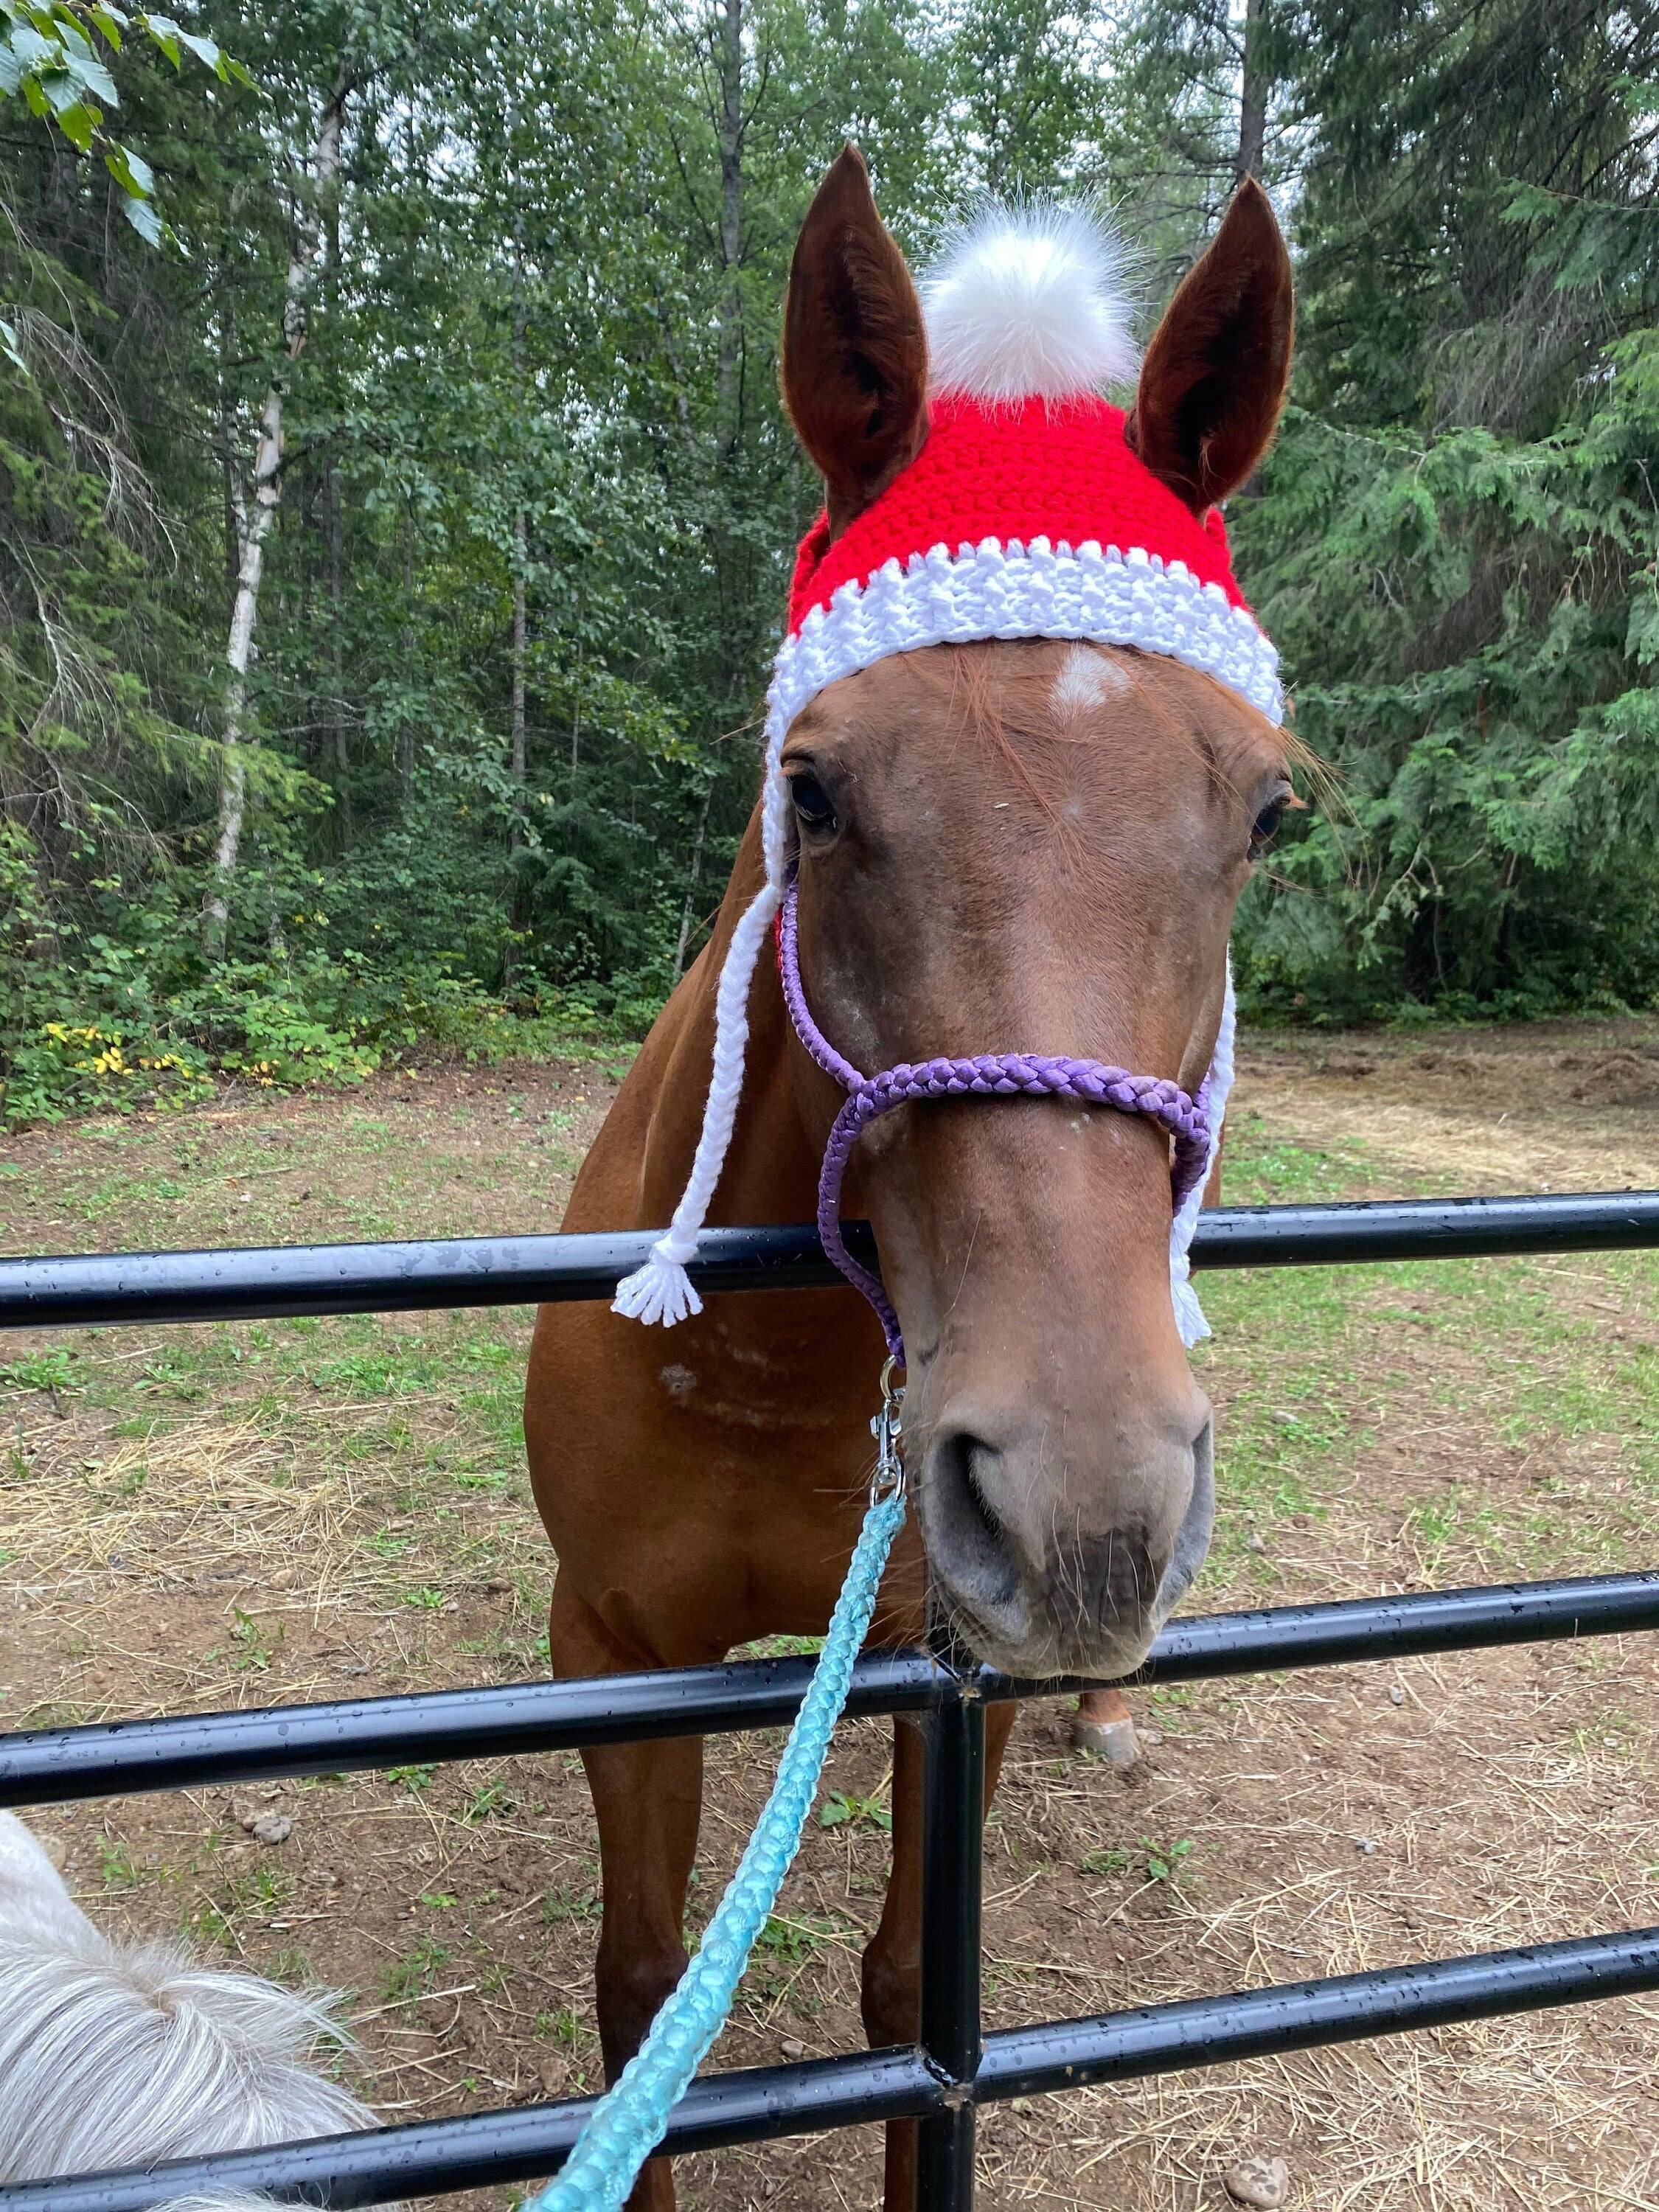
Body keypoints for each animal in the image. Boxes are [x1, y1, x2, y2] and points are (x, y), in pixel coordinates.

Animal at [525, 146, 1294, 2211]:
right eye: (813, 787)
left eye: (1269, 811)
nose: (1083, 1509)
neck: (783, 1363)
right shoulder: (619, 1656)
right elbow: (642, 1999)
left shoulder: (952, 1674)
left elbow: (901, 2003)